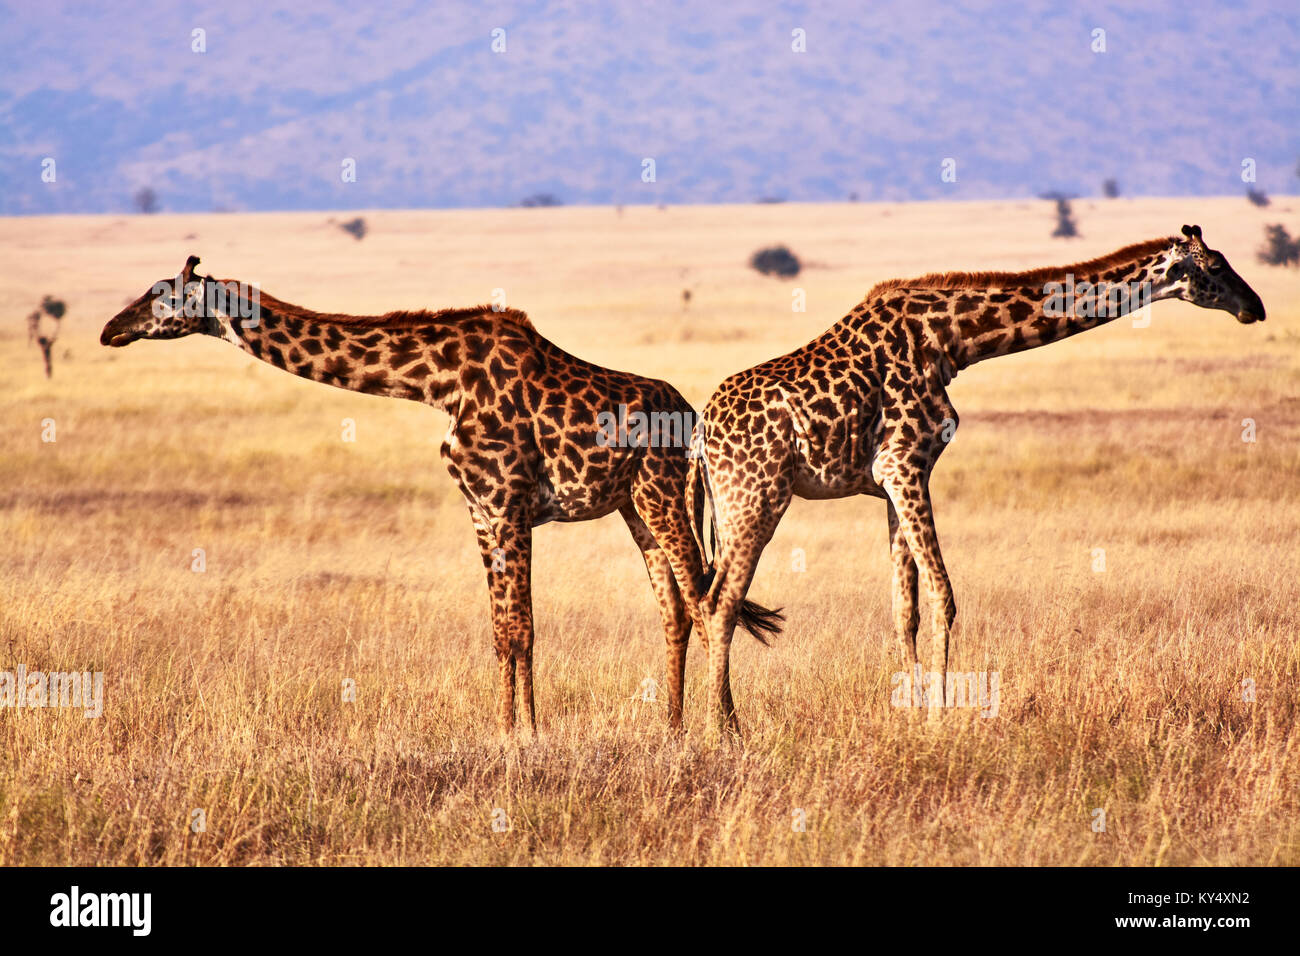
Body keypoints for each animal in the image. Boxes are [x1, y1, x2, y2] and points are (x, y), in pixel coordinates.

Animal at [100, 255, 782, 740]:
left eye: (159, 295)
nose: (110, 329)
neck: (437, 383)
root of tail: (693, 418)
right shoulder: (481, 509)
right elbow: (503, 629)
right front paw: (507, 731)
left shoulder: (507, 503)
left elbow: (521, 627)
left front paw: (524, 736)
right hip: (634, 506)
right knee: (675, 608)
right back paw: (671, 728)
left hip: (663, 495)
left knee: (703, 602)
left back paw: (721, 730)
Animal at [688, 225, 1265, 732]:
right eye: (1216, 267)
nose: (1254, 307)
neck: (953, 341)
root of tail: (699, 436)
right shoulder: (903, 463)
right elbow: (944, 597)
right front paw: (941, 718)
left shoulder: (892, 481)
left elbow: (905, 609)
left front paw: (912, 713)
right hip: (756, 498)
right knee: (720, 603)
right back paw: (723, 729)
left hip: (733, 505)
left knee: (706, 601)